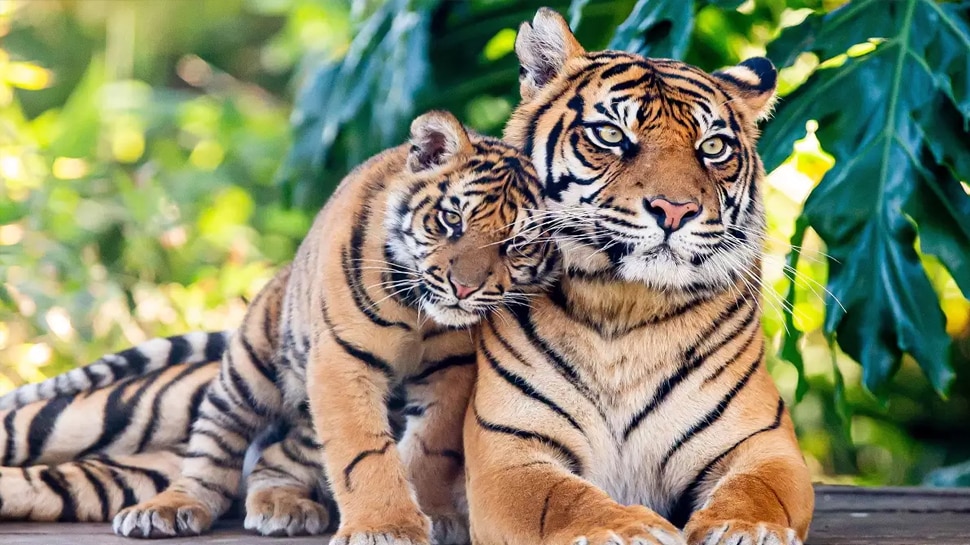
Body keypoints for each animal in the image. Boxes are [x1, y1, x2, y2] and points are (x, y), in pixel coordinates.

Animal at [110, 110, 558, 543]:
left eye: (516, 245)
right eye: (451, 219)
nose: (464, 288)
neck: (419, 311)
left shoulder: (452, 370)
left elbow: (431, 445)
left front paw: (434, 516)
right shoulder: (343, 360)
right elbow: (362, 451)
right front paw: (384, 528)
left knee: (273, 459)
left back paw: (282, 504)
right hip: (246, 373)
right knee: (212, 449)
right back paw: (169, 508)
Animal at [463, 8, 813, 545]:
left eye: (713, 147)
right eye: (611, 136)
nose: (676, 210)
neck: (624, 304)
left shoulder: (764, 442)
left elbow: (758, 489)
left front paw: (744, 528)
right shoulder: (509, 453)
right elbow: (560, 500)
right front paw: (625, 529)